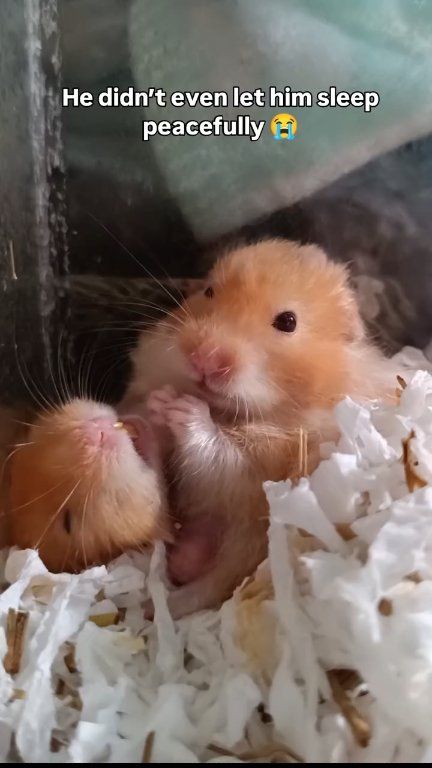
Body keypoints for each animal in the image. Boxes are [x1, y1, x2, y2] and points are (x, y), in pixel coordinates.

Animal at [121, 239, 396, 617]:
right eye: (209, 291)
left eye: (288, 321)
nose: (202, 359)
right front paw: (161, 401)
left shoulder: (261, 472)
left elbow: (220, 454)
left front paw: (184, 408)